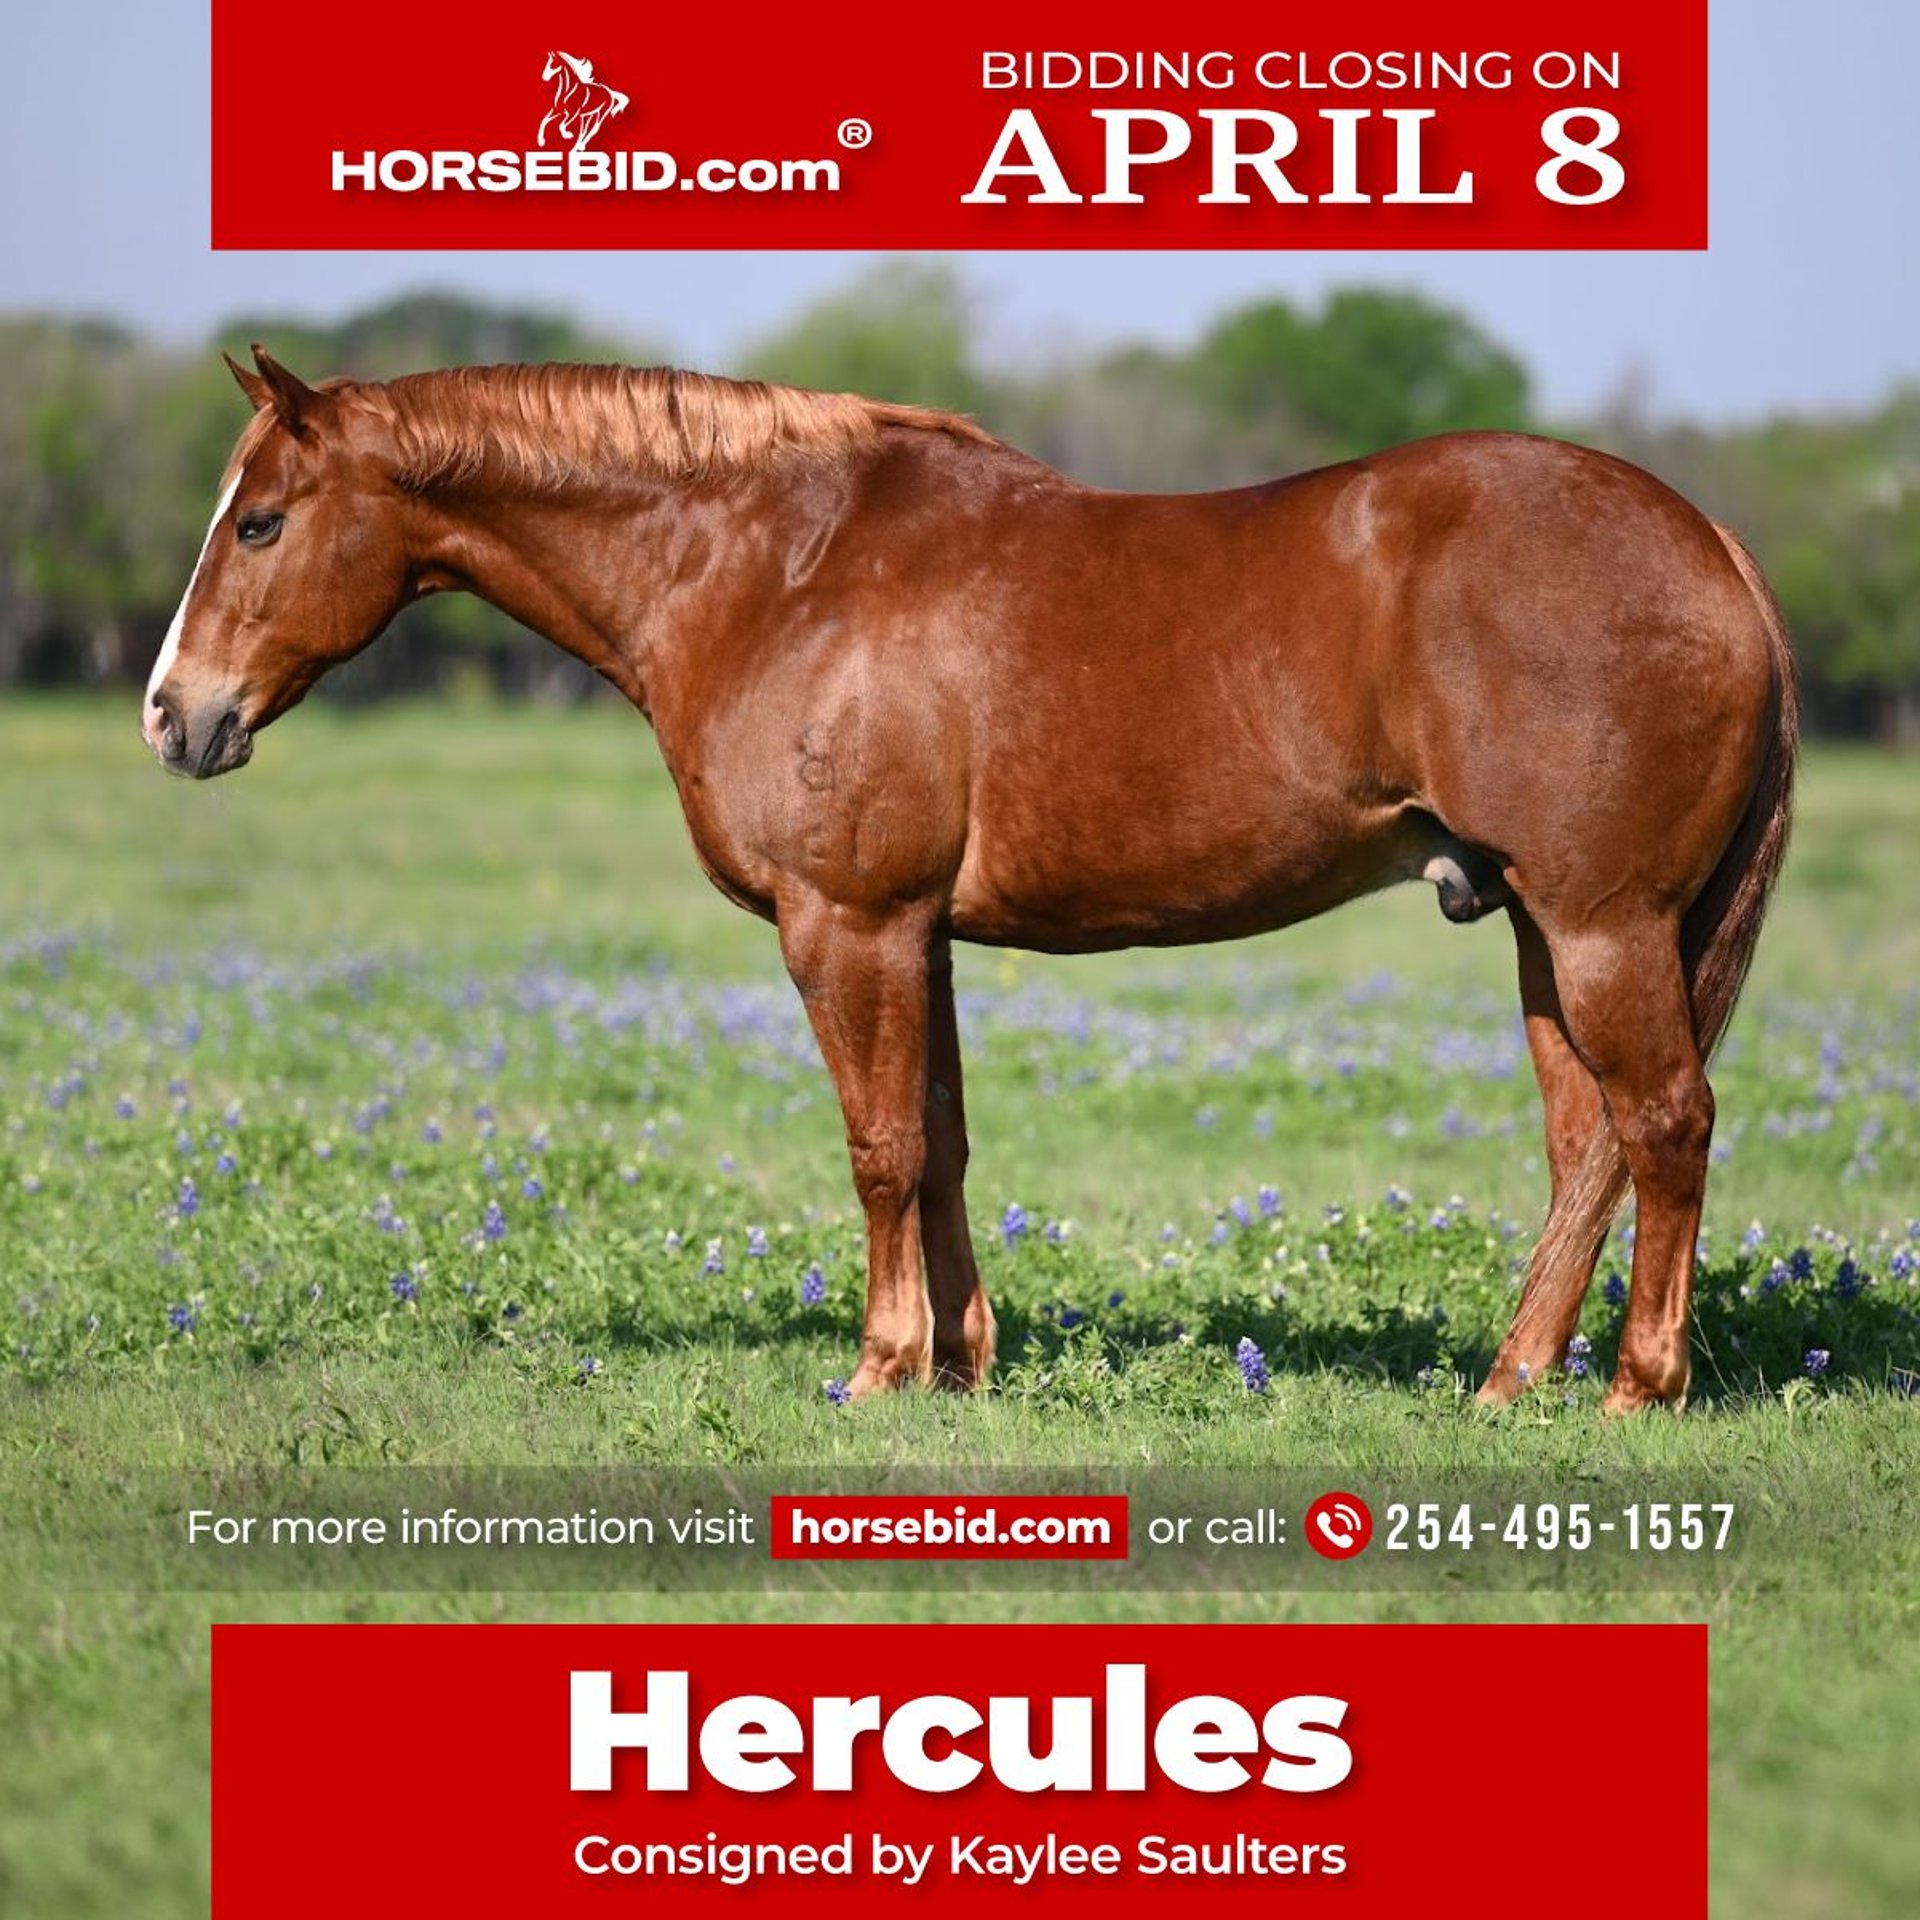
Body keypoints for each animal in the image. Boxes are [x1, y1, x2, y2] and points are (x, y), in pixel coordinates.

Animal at [144, 347, 1796, 1414]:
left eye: (261, 519)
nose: (174, 715)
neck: (777, 571)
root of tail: (1712, 543)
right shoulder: (917, 935)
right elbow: (939, 1142)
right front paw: (961, 1362)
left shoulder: (849, 925)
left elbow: (878, 1148)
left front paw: (880, 1369)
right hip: (1543, 932)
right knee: (1587, 1145)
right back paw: (1510, 1382)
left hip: (1599, 928)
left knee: (1665, 1124)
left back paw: (1637, 1390)